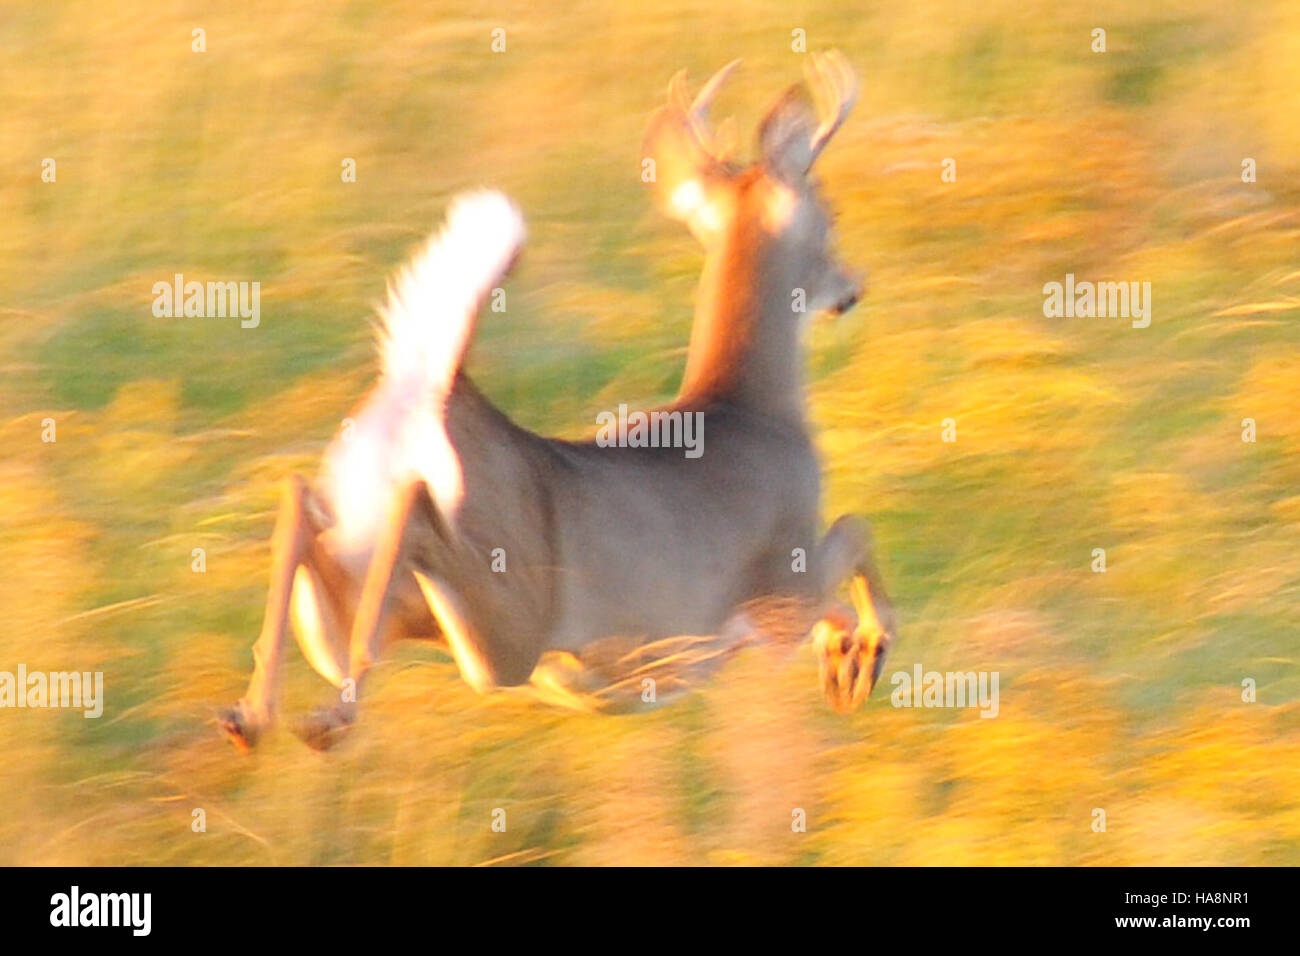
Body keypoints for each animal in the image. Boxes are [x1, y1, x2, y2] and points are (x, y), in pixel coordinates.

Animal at [218, 51, 898, 751]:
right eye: (831, 215)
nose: (854, 286)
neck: (756, 406)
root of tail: (437, 387)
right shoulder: (783, 579)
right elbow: (856, 530)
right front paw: (862, 660)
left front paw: (844, 660)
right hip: (506, 628)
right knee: (414, 511)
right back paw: (327, 716)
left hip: (371, 599)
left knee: (301, 505)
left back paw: (255, 715)